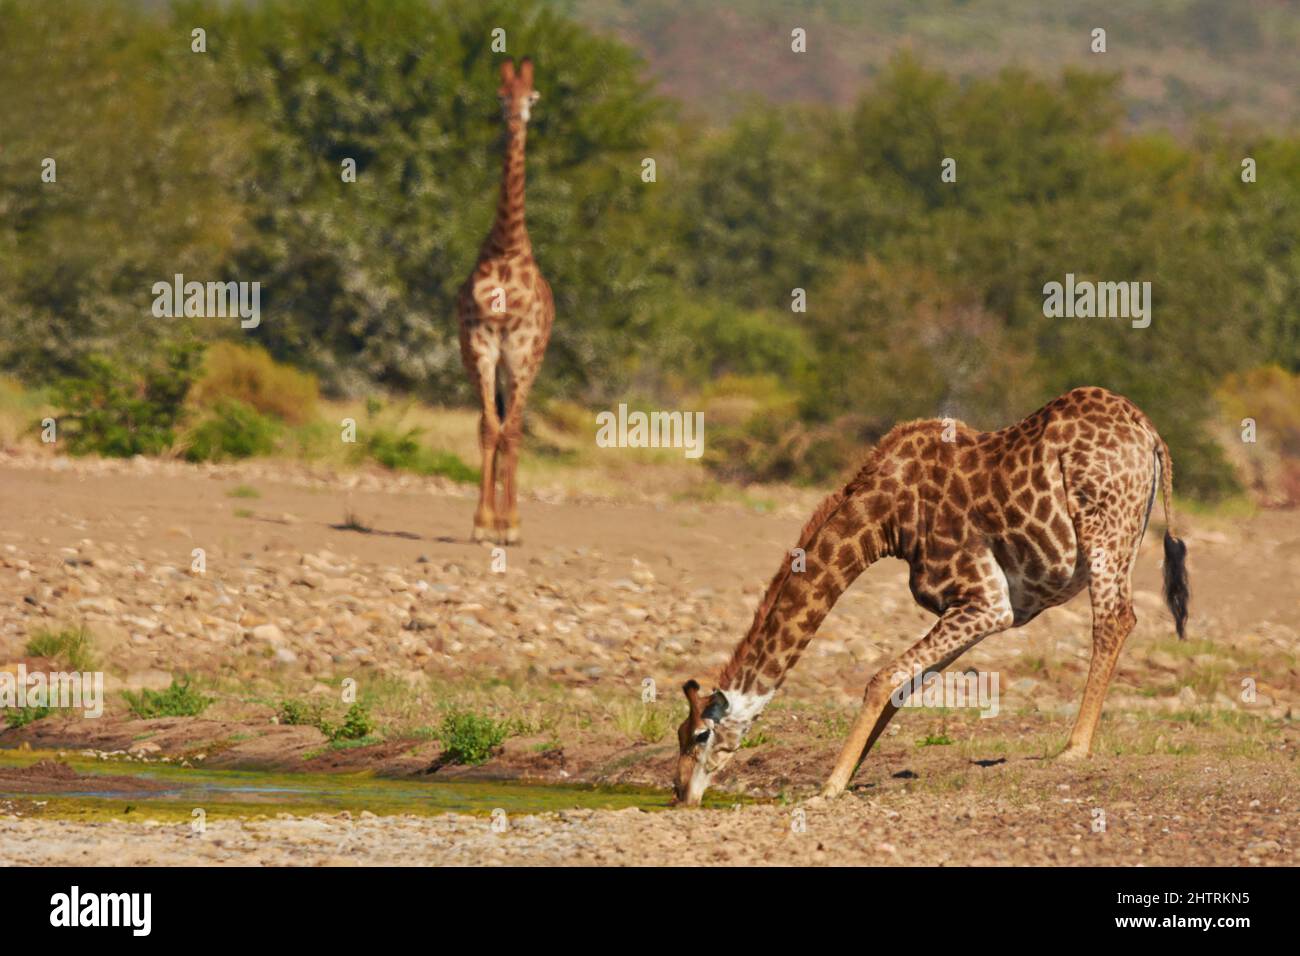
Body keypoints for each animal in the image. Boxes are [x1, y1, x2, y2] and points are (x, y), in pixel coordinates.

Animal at [674, 387, 1190, 806]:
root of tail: (1149, 433)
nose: (680, 793)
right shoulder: (977, 609)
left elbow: (881, 678)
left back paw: (1073, 748)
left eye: (698, 735)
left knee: (1115, 619)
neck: (887, 519)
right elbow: (901, 686)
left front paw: (830, 786)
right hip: (1124, 538)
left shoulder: (986, 600)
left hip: (1103, 527)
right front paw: (851, 773)